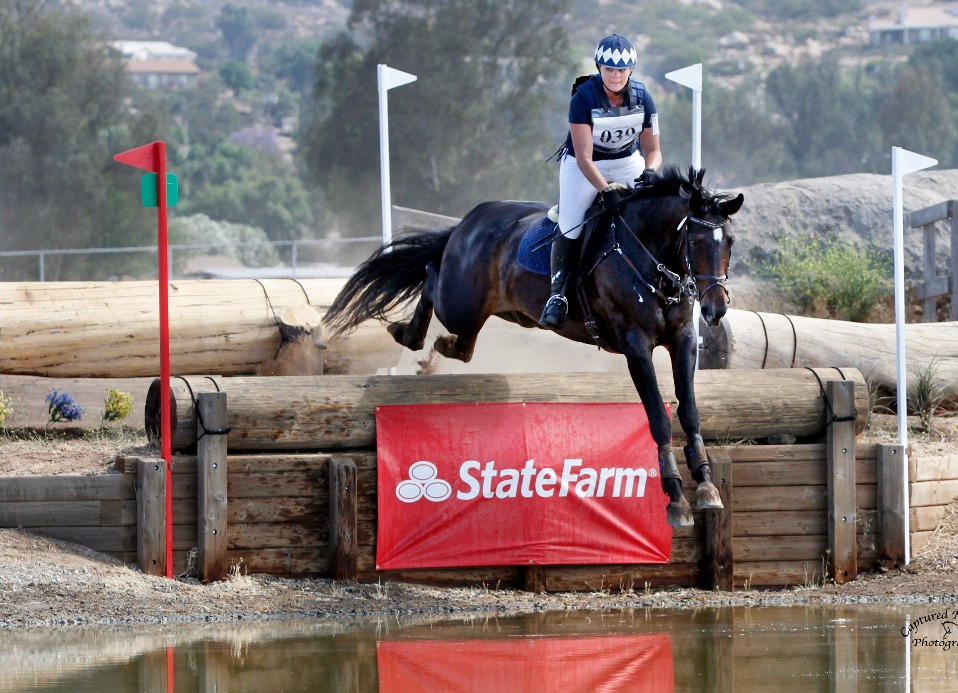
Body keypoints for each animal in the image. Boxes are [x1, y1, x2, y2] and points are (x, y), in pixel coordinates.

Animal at [324, 165, 744, 527]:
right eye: (694, 240)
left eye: (729, 242)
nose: (715, 309)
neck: (650, 256)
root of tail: (468, 221)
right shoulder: (635, 345)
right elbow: (658, 415)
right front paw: (674, 498)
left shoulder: (683, 339)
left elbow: (689, 410)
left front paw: (706, 484)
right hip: (461, 301)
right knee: (429, 279)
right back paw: (407, 334)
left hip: (504, 312)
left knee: (464, 343)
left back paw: (437, 349)